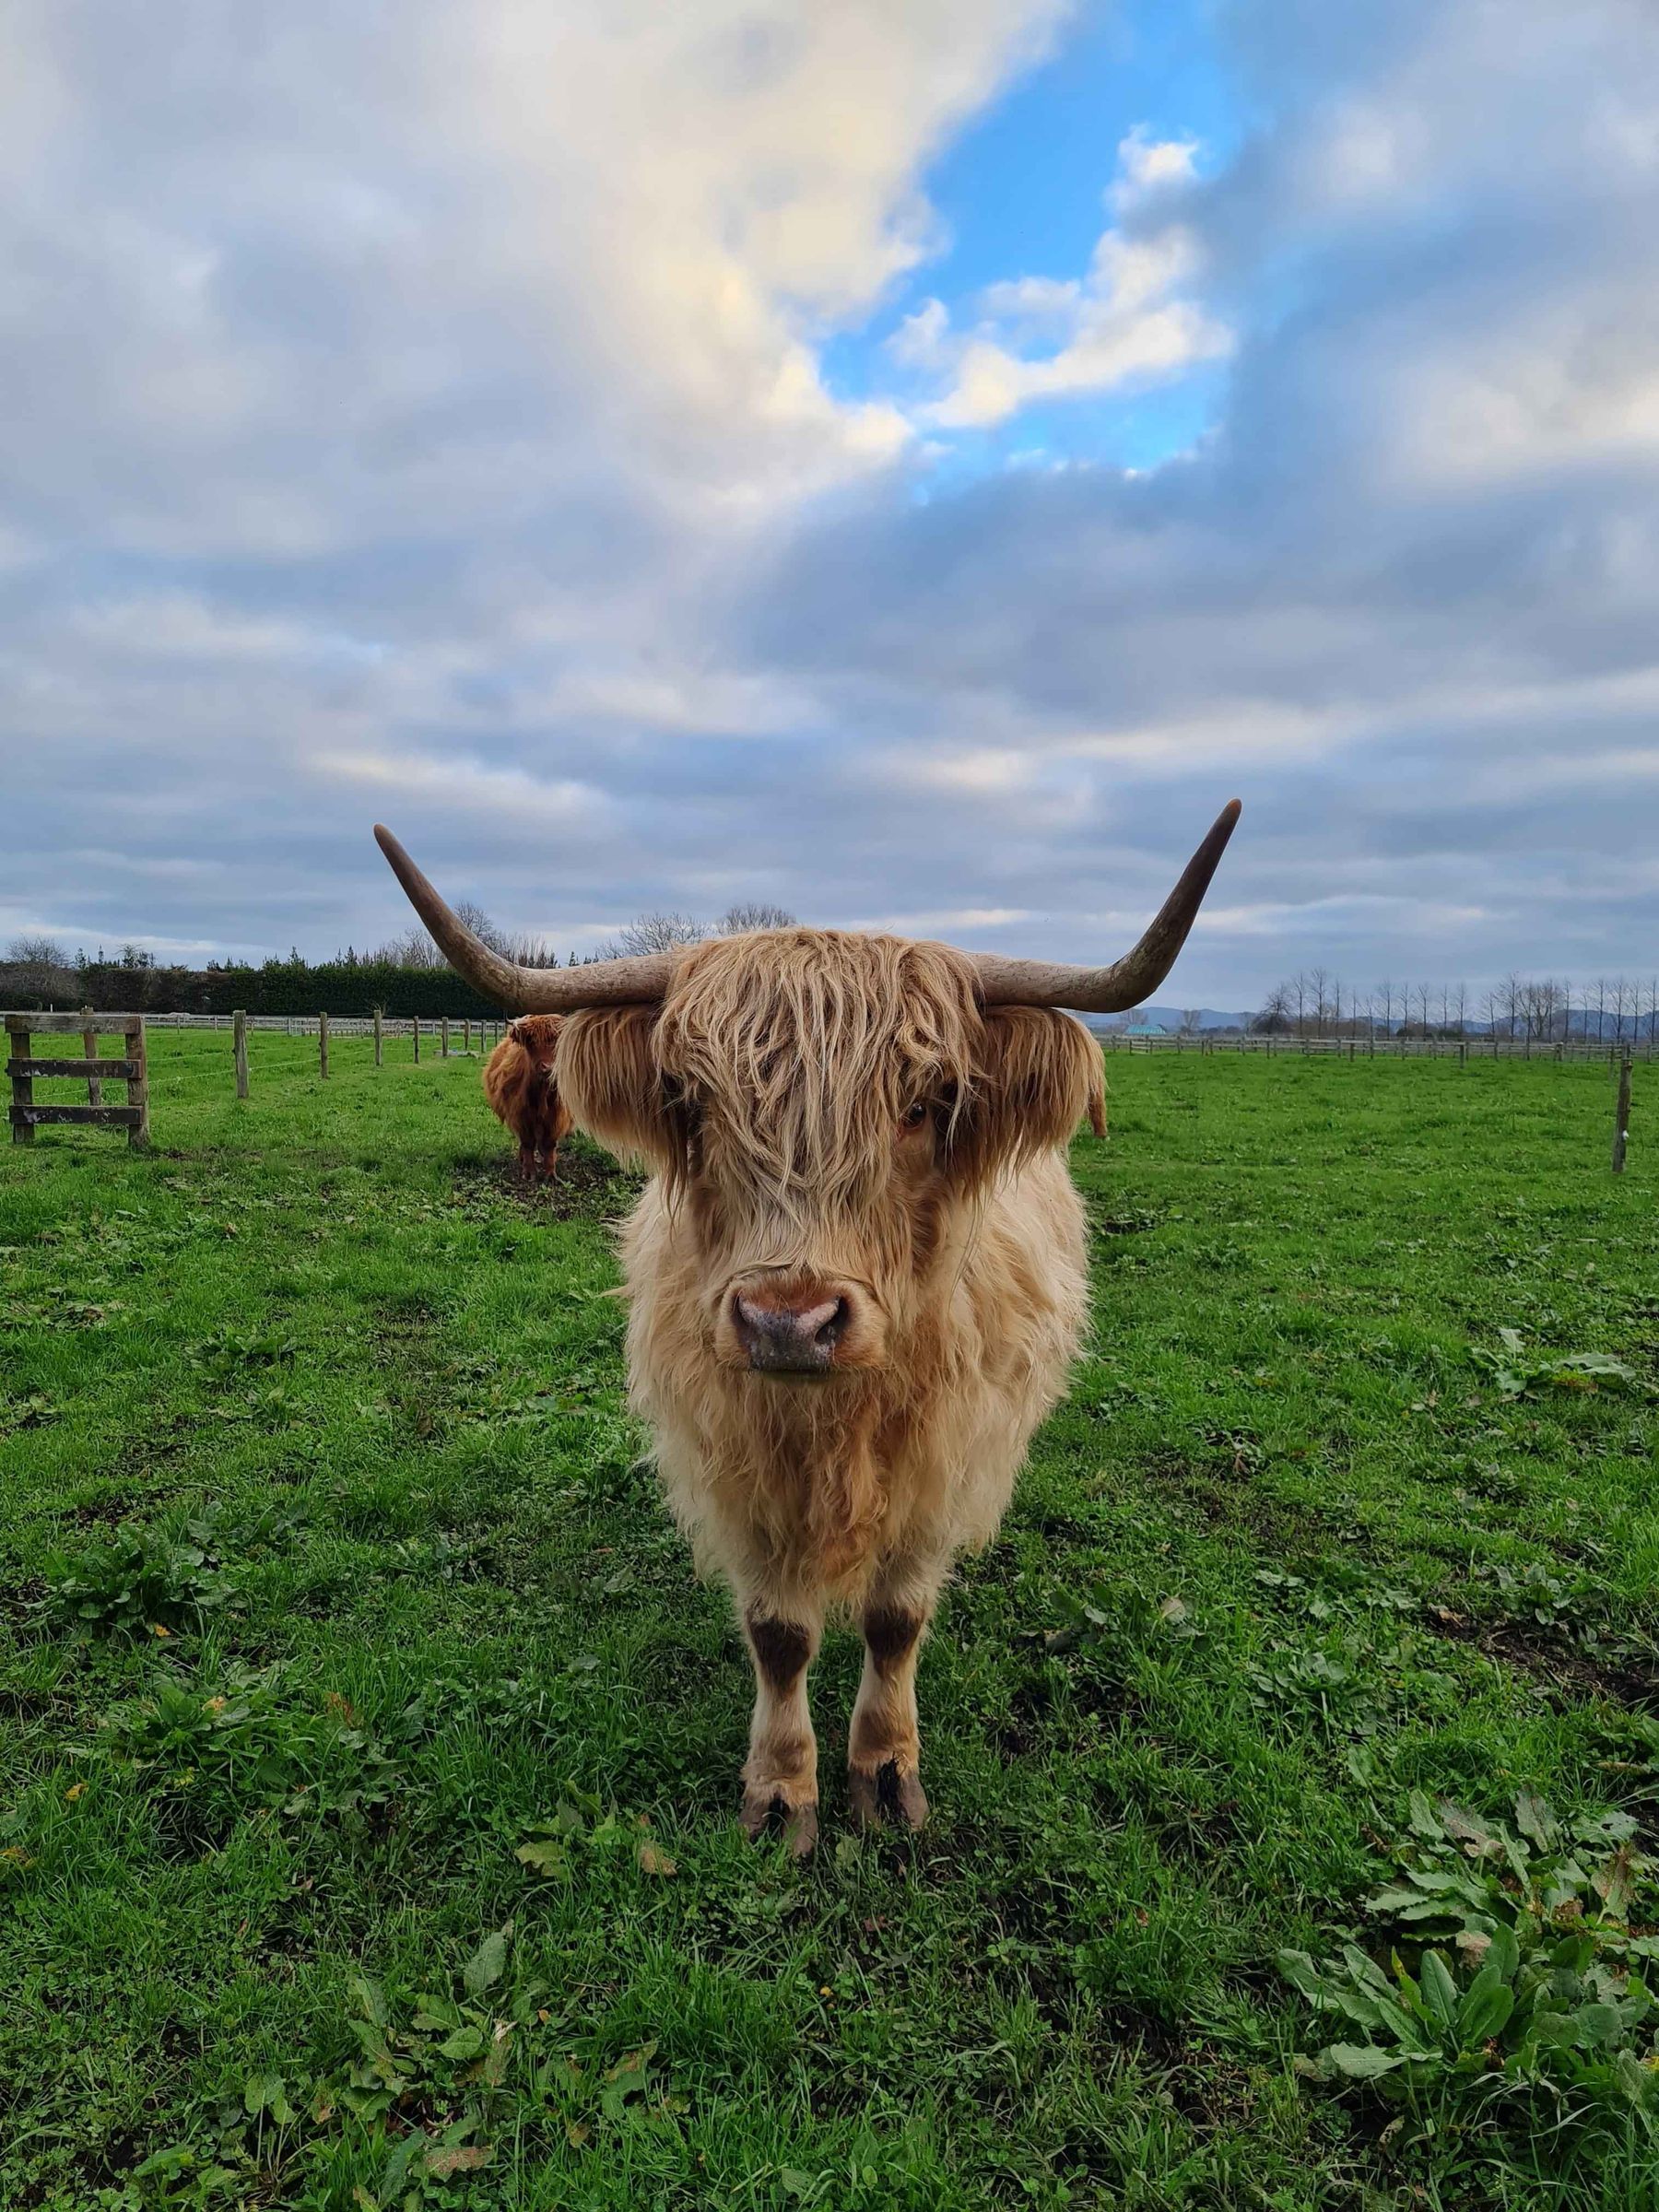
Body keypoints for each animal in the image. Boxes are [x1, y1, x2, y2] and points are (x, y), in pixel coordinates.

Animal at [482, 1013, 572, 1180]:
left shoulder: (557, 1116)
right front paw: (529, 1172)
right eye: (532, 1041)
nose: (548, 1068)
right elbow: (528, 1142)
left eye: (558, 1041)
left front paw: (551, 1173)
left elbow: (550, 1143)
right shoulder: (520, 1115)